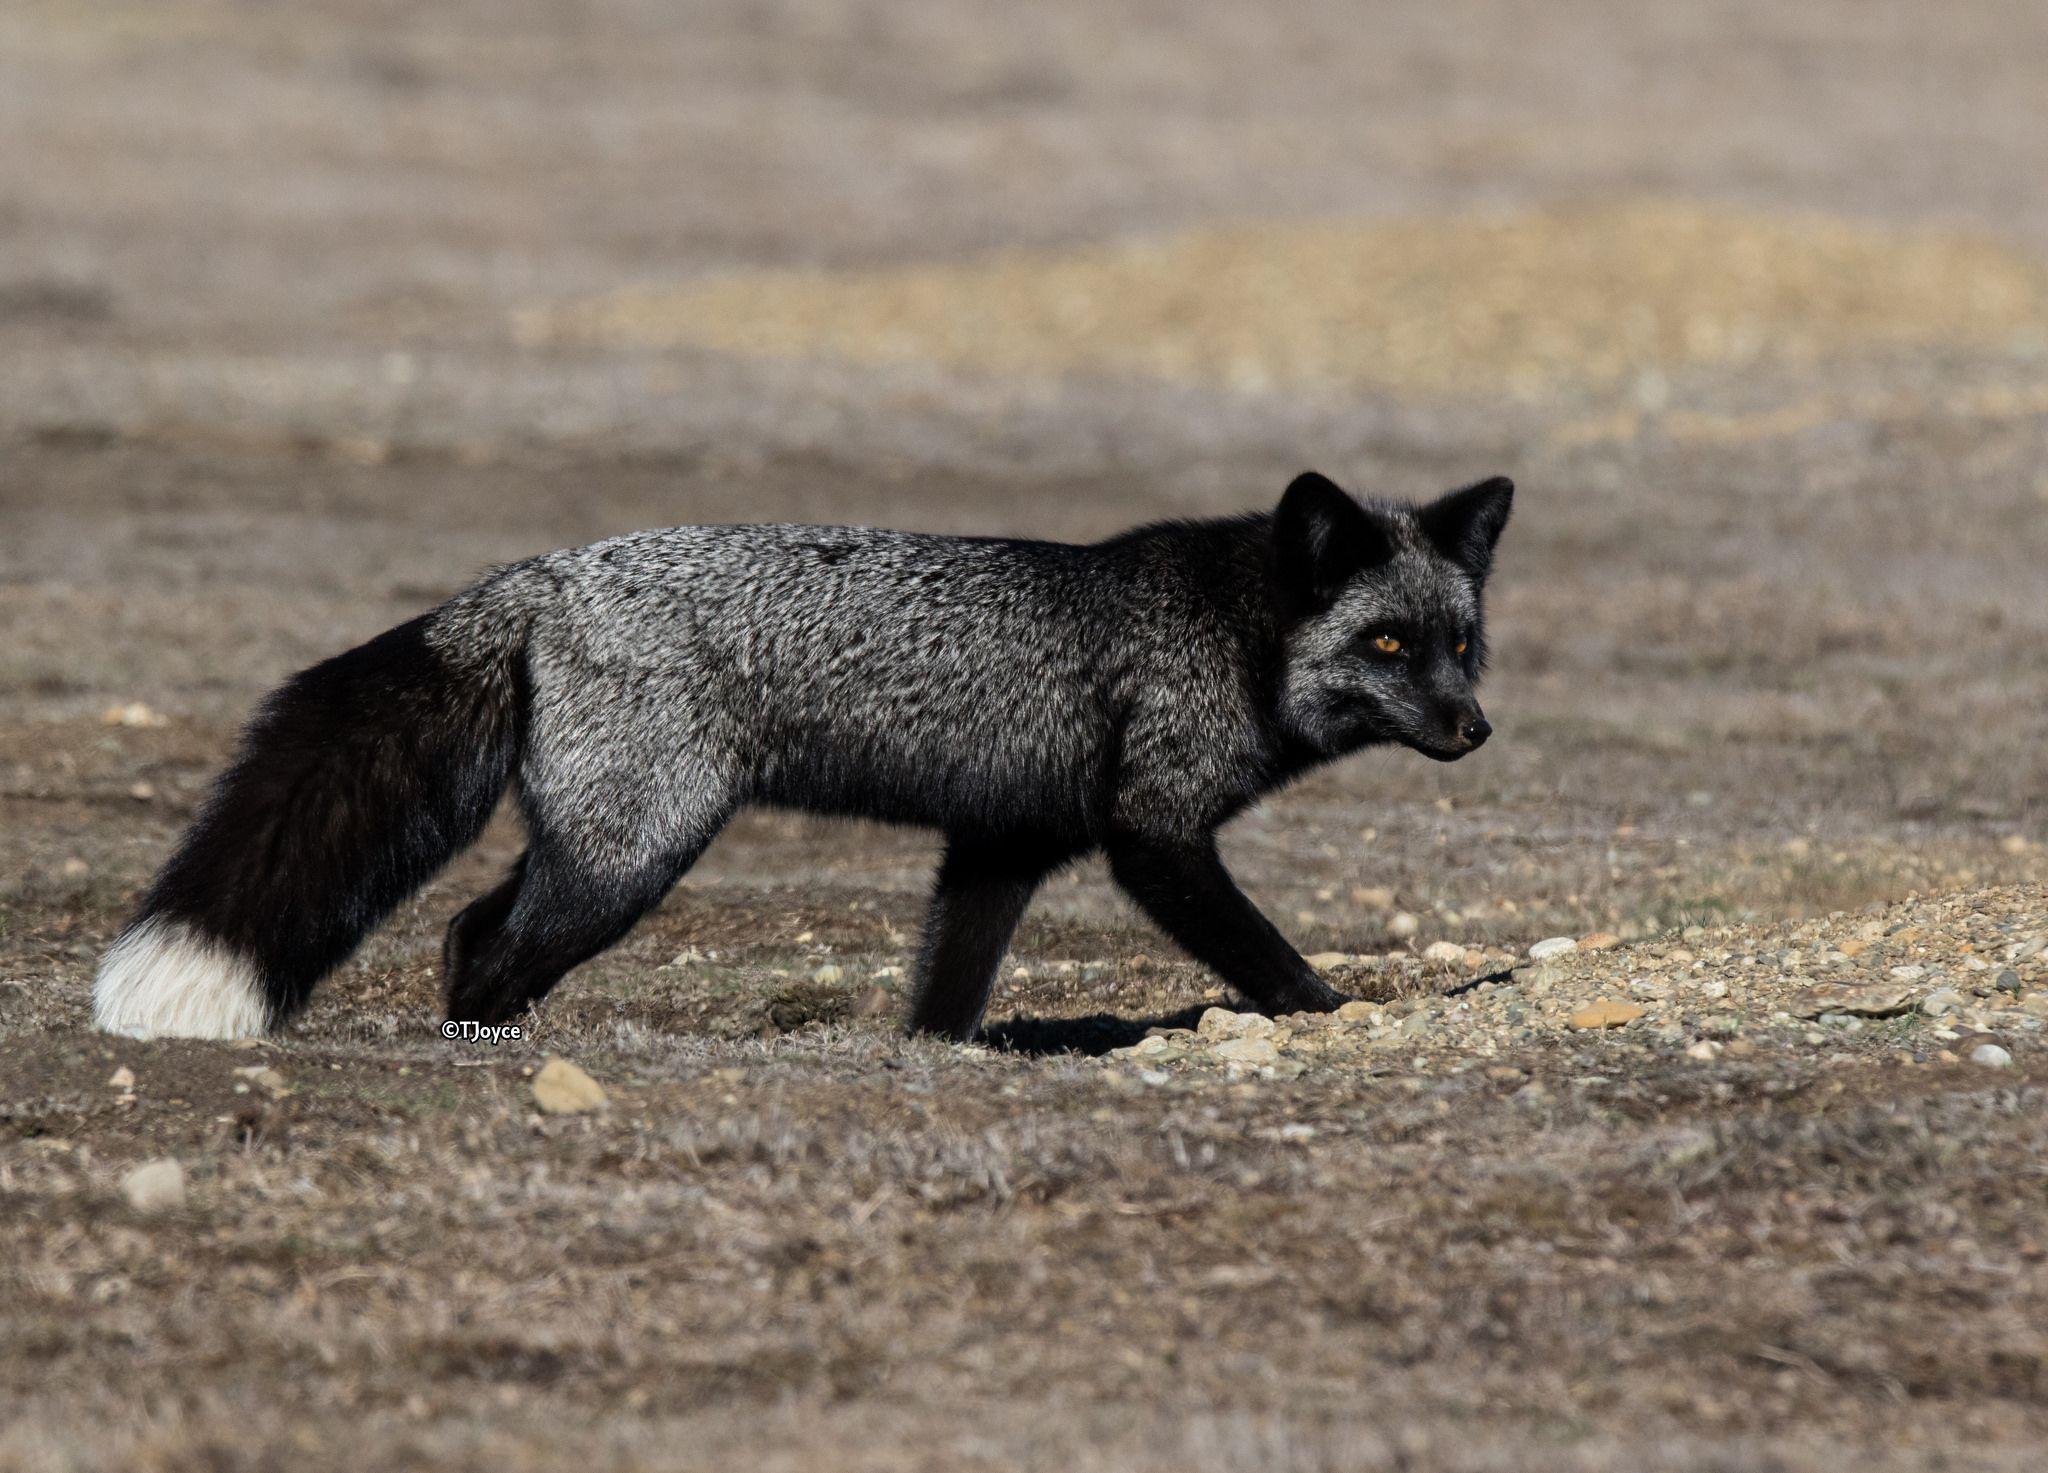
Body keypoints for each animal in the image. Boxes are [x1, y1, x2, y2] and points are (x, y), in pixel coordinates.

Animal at [93, 470, 1512, 1044]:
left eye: (1459, 643)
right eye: (1385, 643)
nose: (1473, 729)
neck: (1225, 630)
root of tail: (536, 574)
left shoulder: (1003, 844)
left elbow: (948, 982)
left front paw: (931, 1060)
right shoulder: (1153, 837)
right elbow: (1263, 952)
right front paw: (1331, 1015)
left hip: (602, 849)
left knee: (467, 932)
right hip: (633, 857)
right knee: (487, 947)